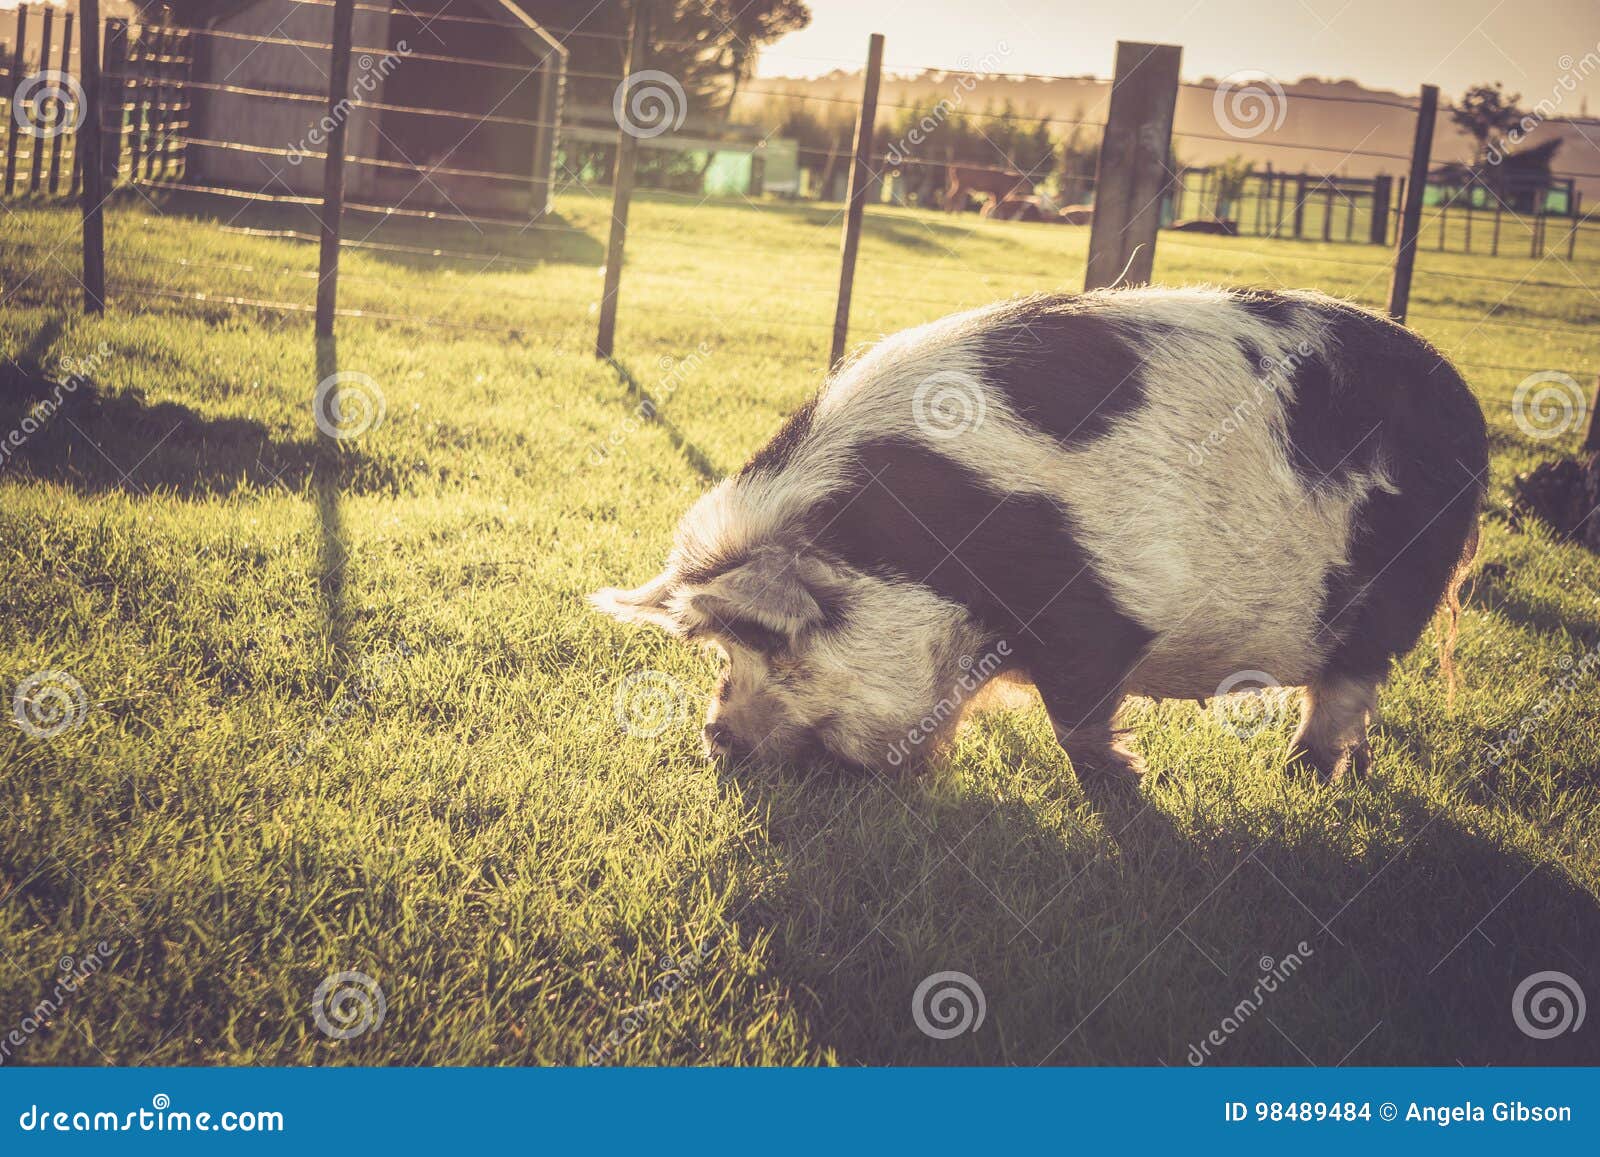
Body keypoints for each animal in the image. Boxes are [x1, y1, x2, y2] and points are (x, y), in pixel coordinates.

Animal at [592, 286, 1486, 783]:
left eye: (774, 645)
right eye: (722, 650)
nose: (714, 738)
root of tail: (1465, 406)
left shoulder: (1093, 613)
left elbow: (1078, 720)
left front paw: (1129, 778)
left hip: (1395, 593)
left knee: (1346, 685)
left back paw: (1303, 774)